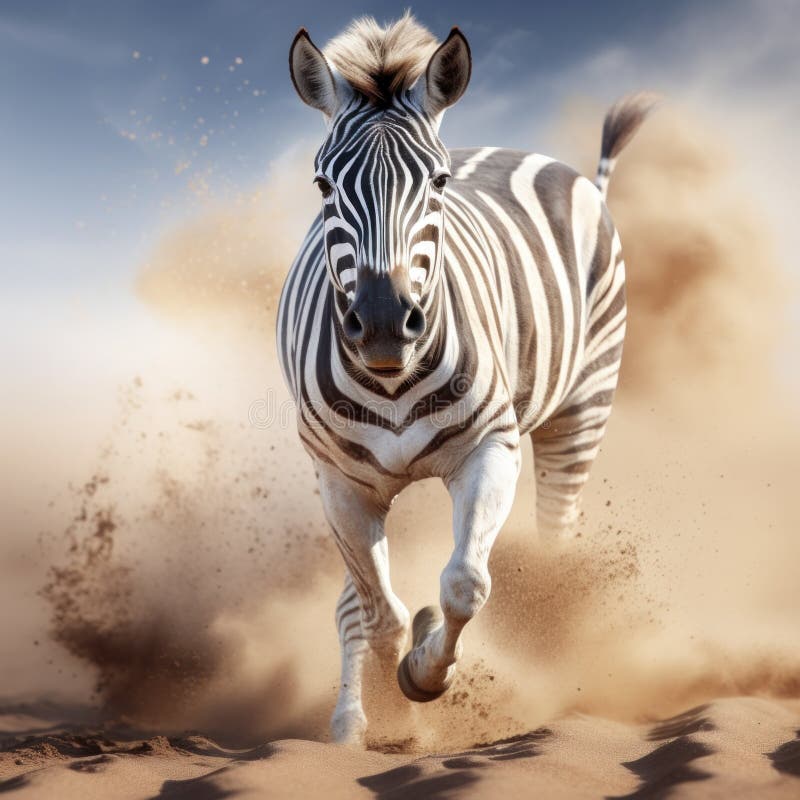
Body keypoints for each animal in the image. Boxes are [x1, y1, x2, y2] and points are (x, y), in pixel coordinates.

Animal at [277, 14, 654, 746]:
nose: (384, 323)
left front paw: (425, 677)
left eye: (440, 183)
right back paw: (350, 719)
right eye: (323, 187)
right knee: (354, 602)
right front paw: (393, 709)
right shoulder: (339, 482)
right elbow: (379, 613)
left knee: (553, 545)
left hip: (584, 405)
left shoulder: (490, 448)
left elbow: (464, 585)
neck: (392, 383)